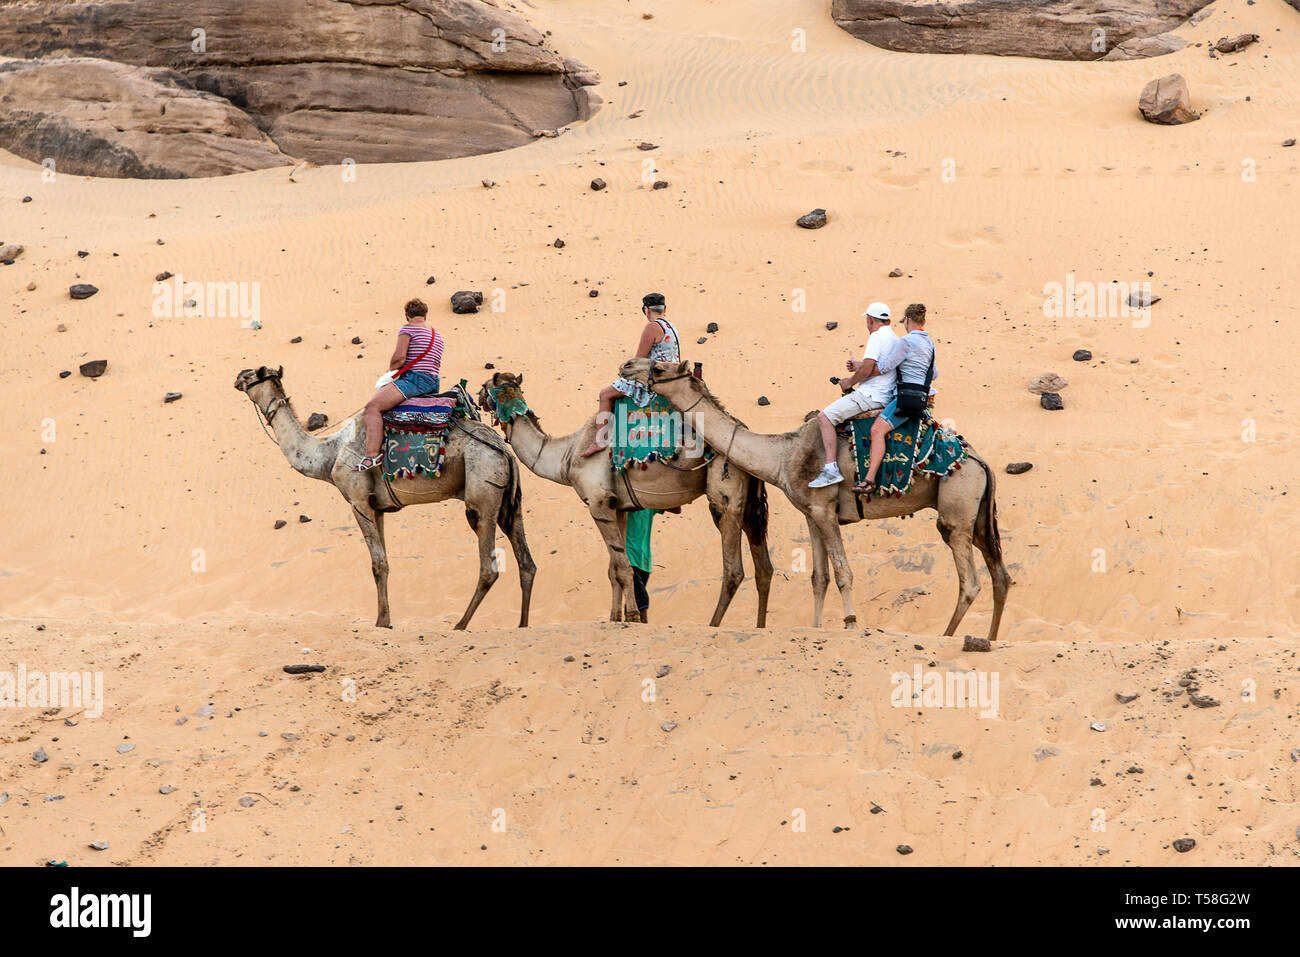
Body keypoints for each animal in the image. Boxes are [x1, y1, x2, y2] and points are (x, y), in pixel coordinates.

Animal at [235, 366, 535, 630]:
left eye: (251, 374)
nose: (236, 377)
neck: (329, 453)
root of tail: (504, 450)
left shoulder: (358, 502)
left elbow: (377, 564)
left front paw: (380, 622)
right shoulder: (376, 507)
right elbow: (385, 563)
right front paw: (386, 620)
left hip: (482, 490)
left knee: (489, 566)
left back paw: (460, 625)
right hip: (509, 501)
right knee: (526, 562)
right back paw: (522, 625)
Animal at [477, 372, 772, 625]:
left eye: (484, 385)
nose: (478, 398)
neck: (567, 454)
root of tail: (743, 428)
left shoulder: (598, 503)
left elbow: (622, 566)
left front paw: (631, 615)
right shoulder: (617, 507)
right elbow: (614, 569)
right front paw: (615, 618)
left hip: (724, 489)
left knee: (734, 570)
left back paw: (713, 625)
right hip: (749, 498)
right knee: (764, 567)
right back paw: (760, 626)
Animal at [620, 358, 1011, 639]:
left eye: (660, 367)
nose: (626, 365)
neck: (782, 456)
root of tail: (980, 461)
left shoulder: (825, 509)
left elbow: (842, 572)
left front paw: (850, 622)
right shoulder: (812, 513)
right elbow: (819, 577)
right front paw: (816, 627)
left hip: (957, 507)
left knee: (970, 580)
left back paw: (947, 635)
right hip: (978, 514)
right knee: (1000, 575)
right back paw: (990, 638)